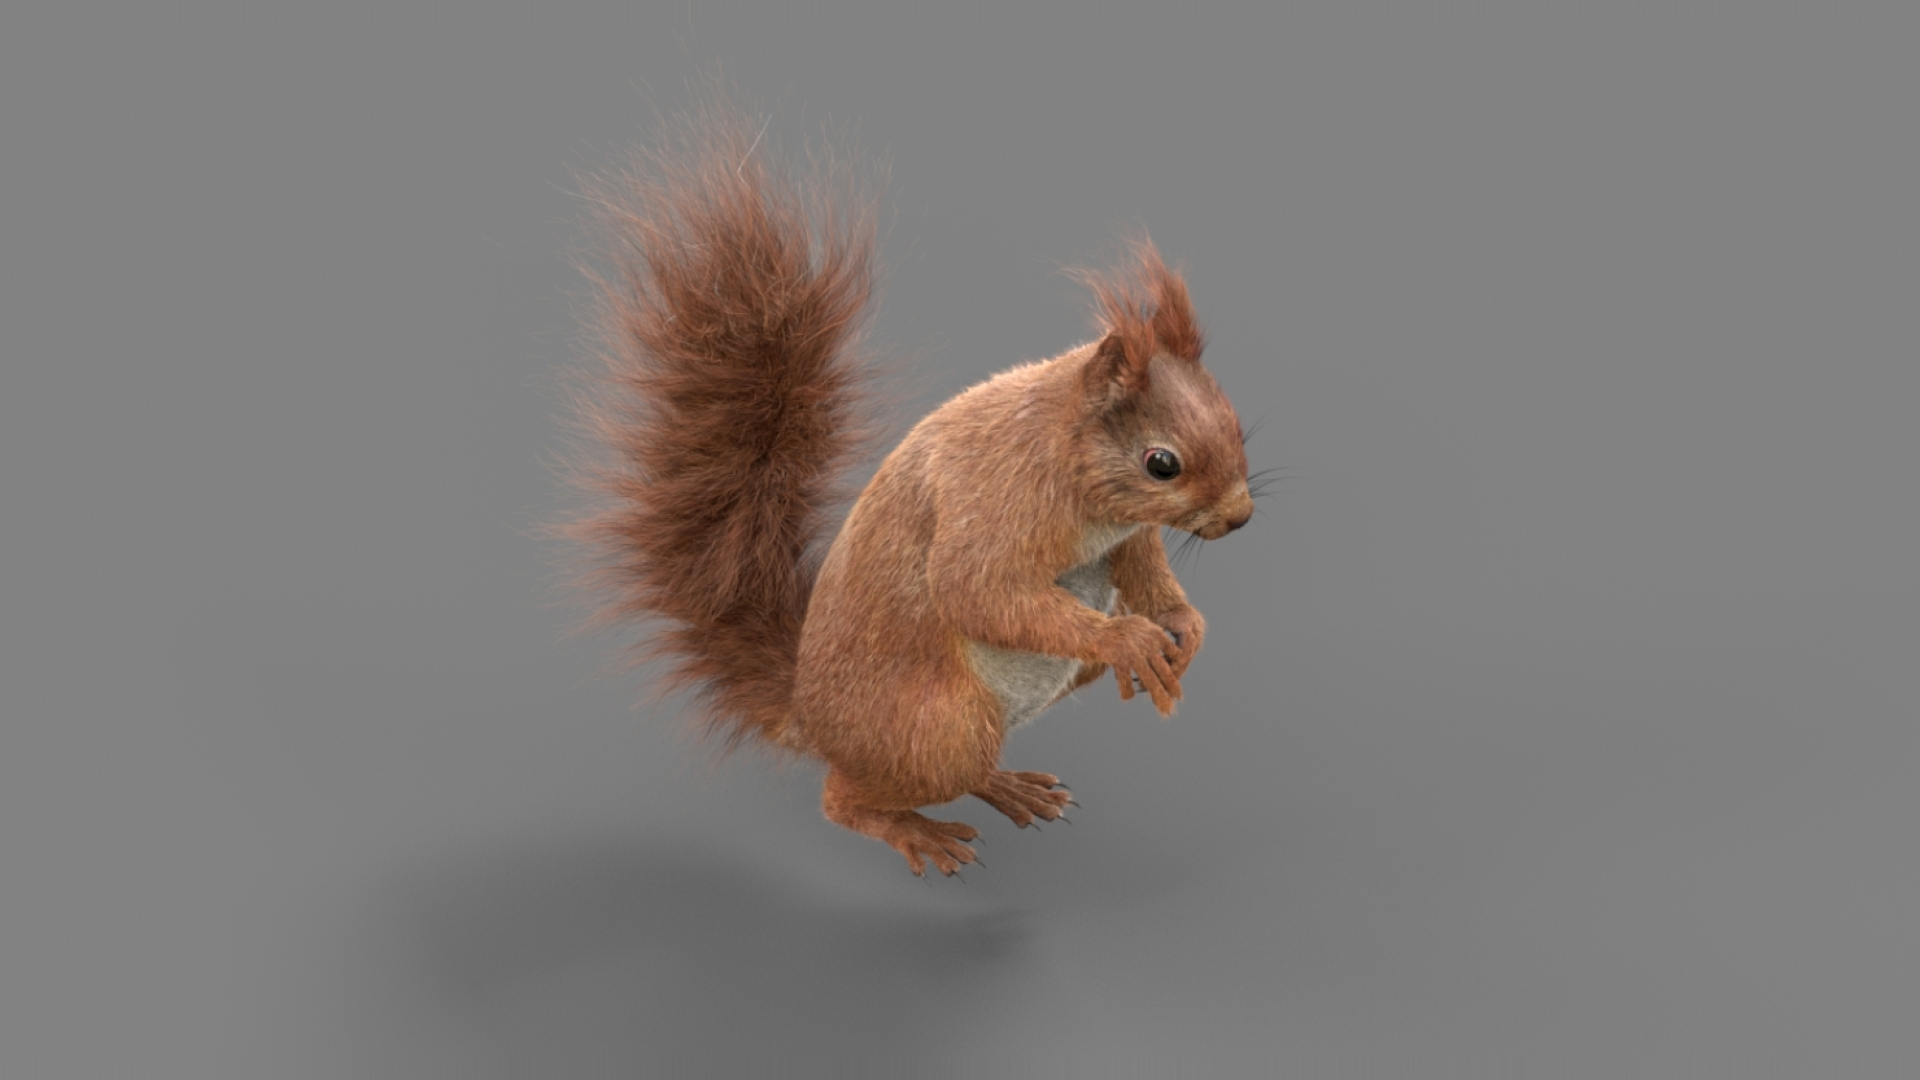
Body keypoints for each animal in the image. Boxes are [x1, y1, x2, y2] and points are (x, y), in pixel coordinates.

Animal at [560, 95, 1255, 877]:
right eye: (1161, 462)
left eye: (1236, 421)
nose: (1240, 516)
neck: (1066, 464)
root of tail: (810, 718)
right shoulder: (994, 501)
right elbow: (977, 591)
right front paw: (1131, 639)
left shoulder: (1124, 535)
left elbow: (1141, 567)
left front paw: (1182, 625)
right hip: (941, 723)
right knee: (848, 798)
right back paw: (917, 830)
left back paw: (1010, 786)